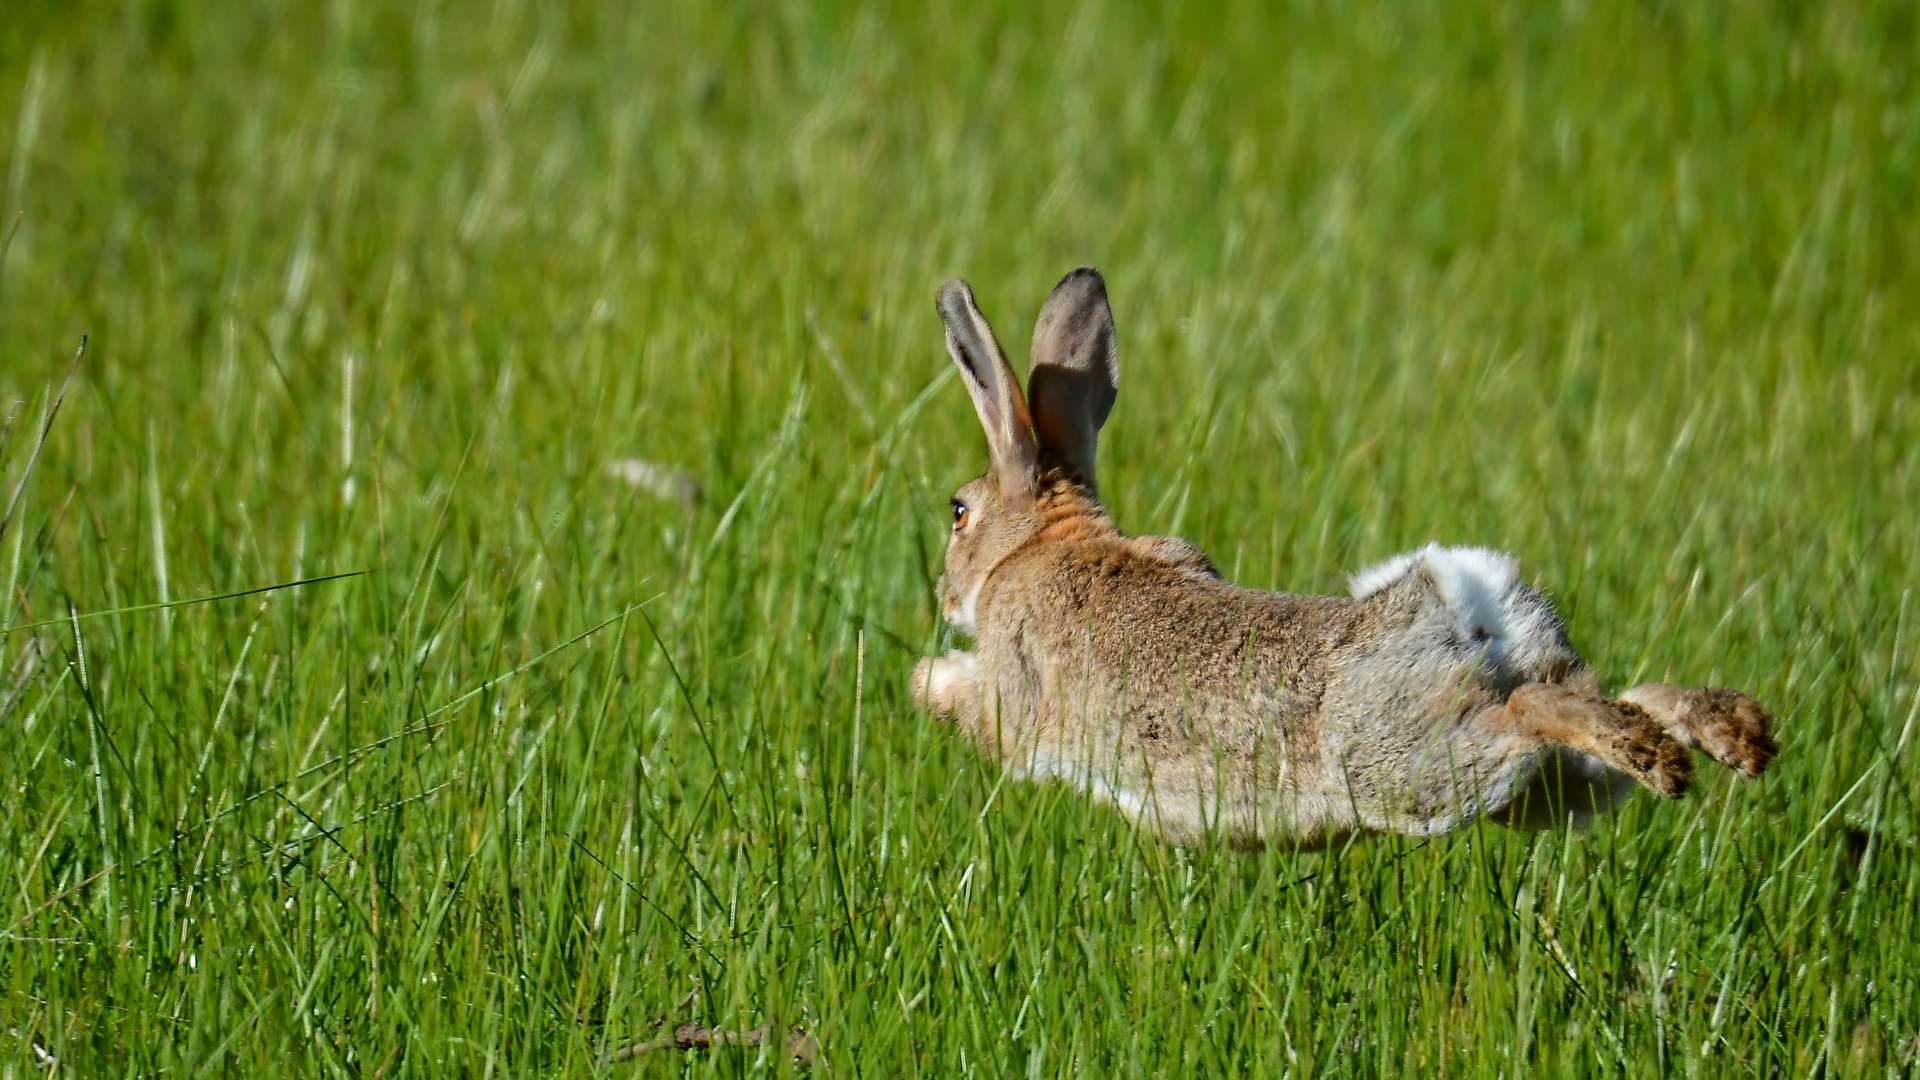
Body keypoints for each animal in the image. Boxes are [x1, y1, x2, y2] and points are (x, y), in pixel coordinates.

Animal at [910, 267, 1777, 847]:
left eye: (957, 512)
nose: (945, 598)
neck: (1041, 544)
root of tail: (1460, 602)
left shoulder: (1015, 690)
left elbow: (971, 703)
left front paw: (924, 680)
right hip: (1535, 788)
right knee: (1603, 710)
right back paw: (1729, 734)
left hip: (1408, 767)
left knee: (1526, 714)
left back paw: (1665, 750)